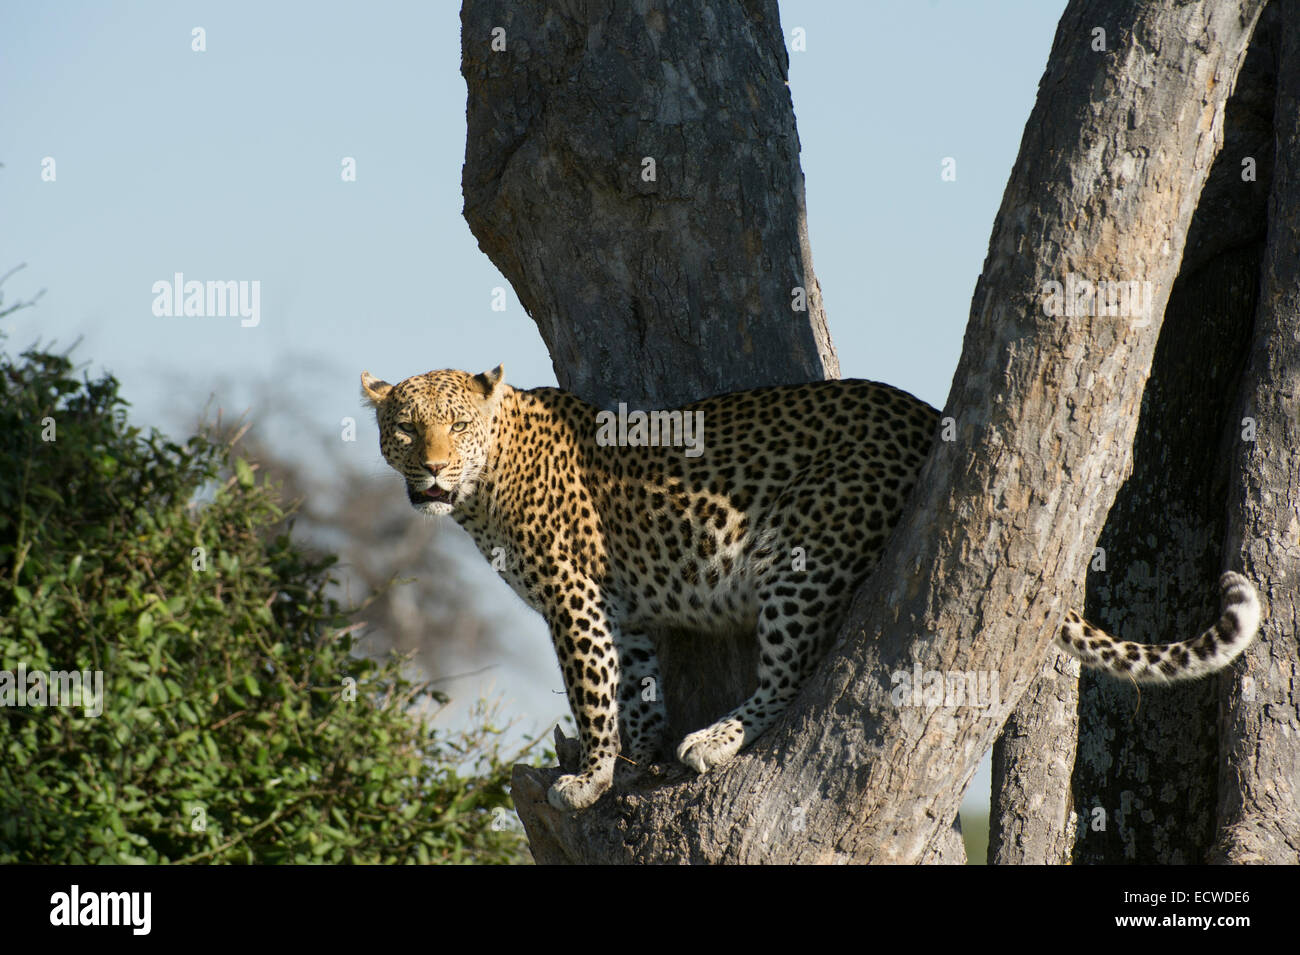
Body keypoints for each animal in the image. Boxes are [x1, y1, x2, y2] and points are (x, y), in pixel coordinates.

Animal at [360, 365, 1262, 812]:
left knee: (791, 673)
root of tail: (924, 413)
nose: (432, 468)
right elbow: (636, 679)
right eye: (405, 427)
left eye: (458, 425)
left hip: (801, 558)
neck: (486, 485)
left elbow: (592, 690)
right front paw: (635, 757)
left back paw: (717, 738)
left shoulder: (574, 594)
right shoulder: (621, 605)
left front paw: (590, 775)